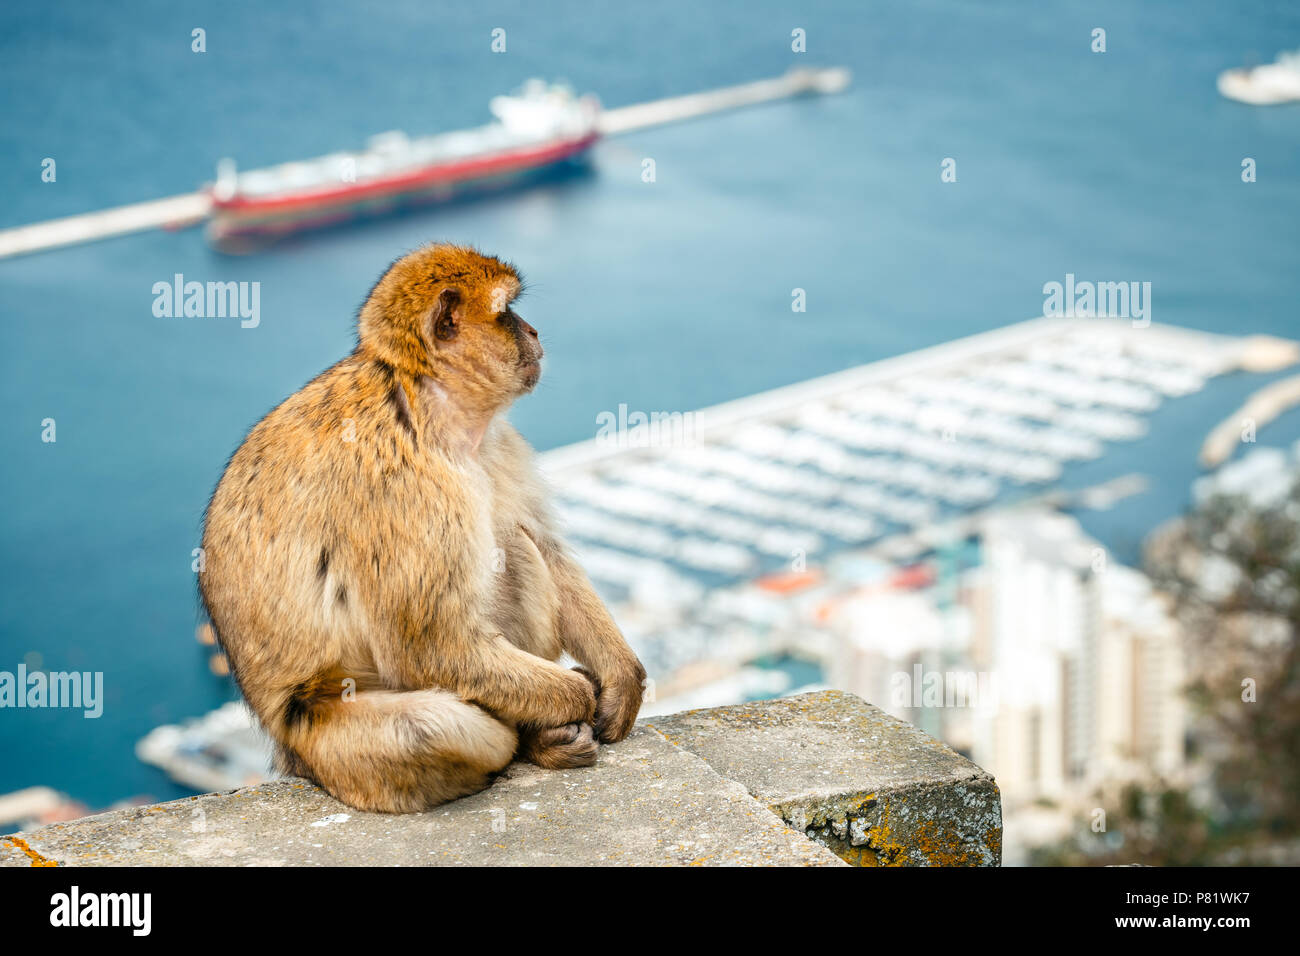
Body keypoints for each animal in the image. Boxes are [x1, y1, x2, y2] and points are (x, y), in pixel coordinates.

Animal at [198, 243, 646, 813]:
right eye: (506, 313)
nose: (534, 331)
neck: (432, 407)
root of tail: (289, 754)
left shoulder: (498, 442)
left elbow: (546, 545)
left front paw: (621, 678)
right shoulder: (400, 485)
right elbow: (428, 645)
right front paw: (577, 699)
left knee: (514, 543)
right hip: (324, 739)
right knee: (431, 726)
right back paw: (533, 737)